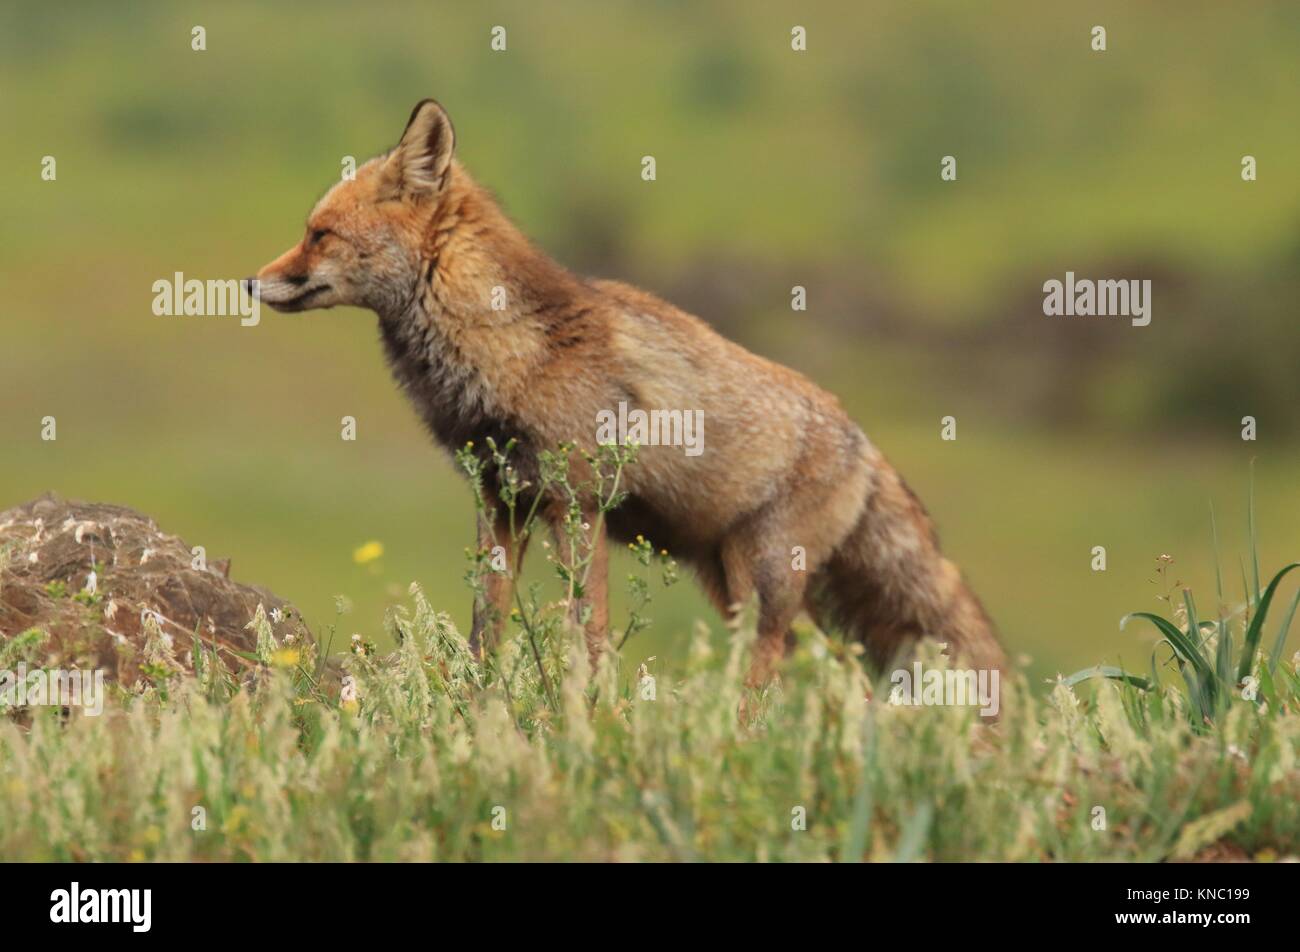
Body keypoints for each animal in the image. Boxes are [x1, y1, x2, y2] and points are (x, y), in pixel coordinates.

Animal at [250, 98, 1006, 685]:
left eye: (320, 234)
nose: (251, 283)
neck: (510, 350)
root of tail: (863, 439)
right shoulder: (500, 501)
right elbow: (486, 626)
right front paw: (480, 701)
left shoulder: (579, 507)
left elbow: (587, 636)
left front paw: (586, 716)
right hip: (730, 578)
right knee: (823, 674)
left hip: (761, 580)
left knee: (778, 670)